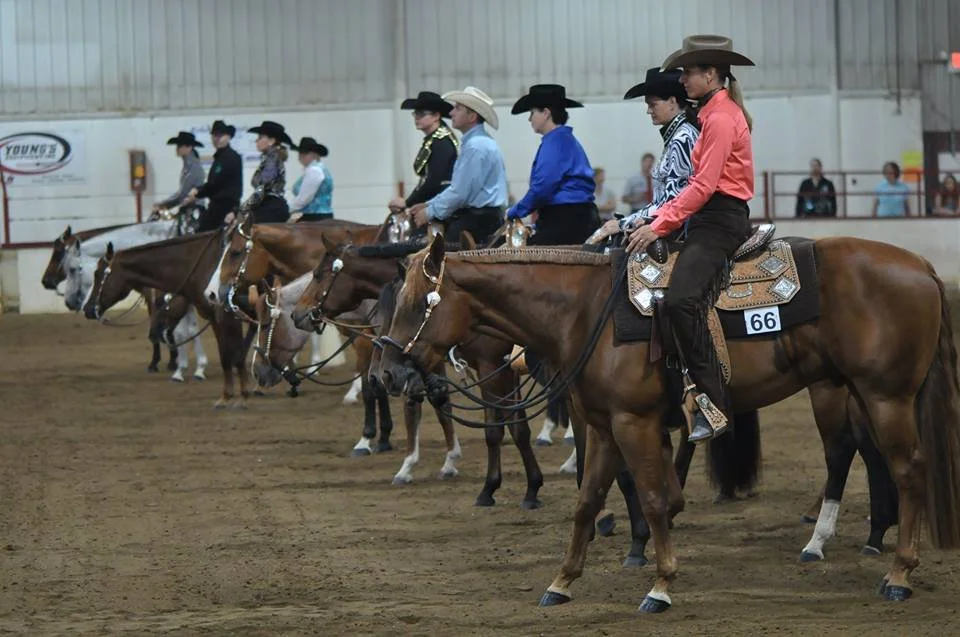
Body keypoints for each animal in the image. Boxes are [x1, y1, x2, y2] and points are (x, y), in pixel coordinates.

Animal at [81, 229, 253, 409]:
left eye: (97, 274)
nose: (87, 309)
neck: (204, 265)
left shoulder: (227, 318)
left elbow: (234, 354)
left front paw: (240, 395)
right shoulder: (212, 317)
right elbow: (224, 354)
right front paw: (226, 395)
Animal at [376, 234, 960, 611]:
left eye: (418, 303)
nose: (387, 373)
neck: (586, 310)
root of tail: (921, 266)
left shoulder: (634, 424)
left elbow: (654, 499)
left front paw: (660, 584)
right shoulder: (604, 427)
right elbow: (587, 502)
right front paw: (562, 582)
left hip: (885, 397)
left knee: (907, 471)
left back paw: (898, 573)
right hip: (854, 391)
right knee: (868, 460)